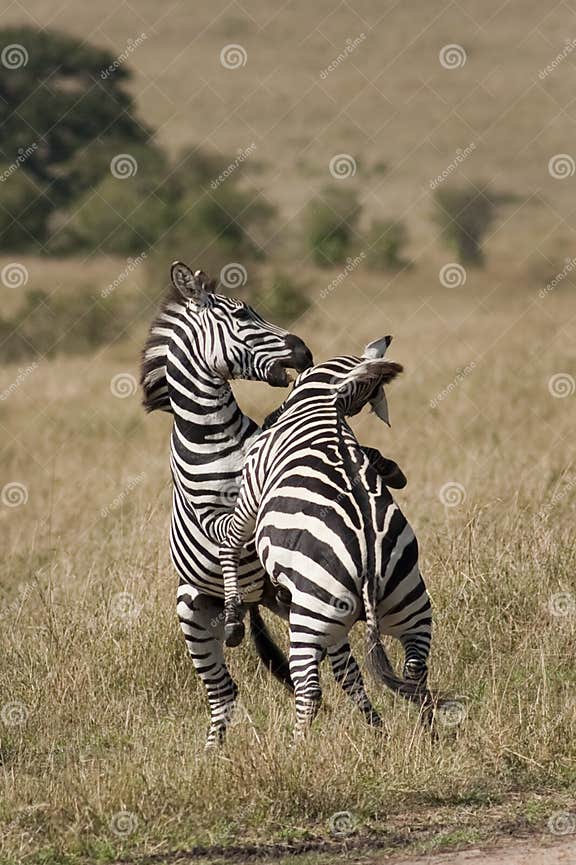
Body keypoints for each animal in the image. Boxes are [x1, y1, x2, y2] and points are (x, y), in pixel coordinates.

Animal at [141, 263, 398, 745]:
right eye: (242, 316)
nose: (304, 350)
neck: (214, 439)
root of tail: (261, 599)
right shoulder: (213, 516)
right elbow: (227, 543)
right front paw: (231, 614)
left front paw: (382, 465)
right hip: (191, 608)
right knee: (223, 691)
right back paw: (215, 748)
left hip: (299, 601)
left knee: (346, 673)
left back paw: (375, 729)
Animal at [220, 336, 438, 738]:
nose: (269, 419)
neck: (323, 408)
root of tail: (369, 558)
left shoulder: (252, 488)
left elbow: (230, 541)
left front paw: (231, 617)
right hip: (412, 605)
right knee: (415, 671)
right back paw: (430, 737)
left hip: (312, 617)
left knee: (309, 689)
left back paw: (296, 748)